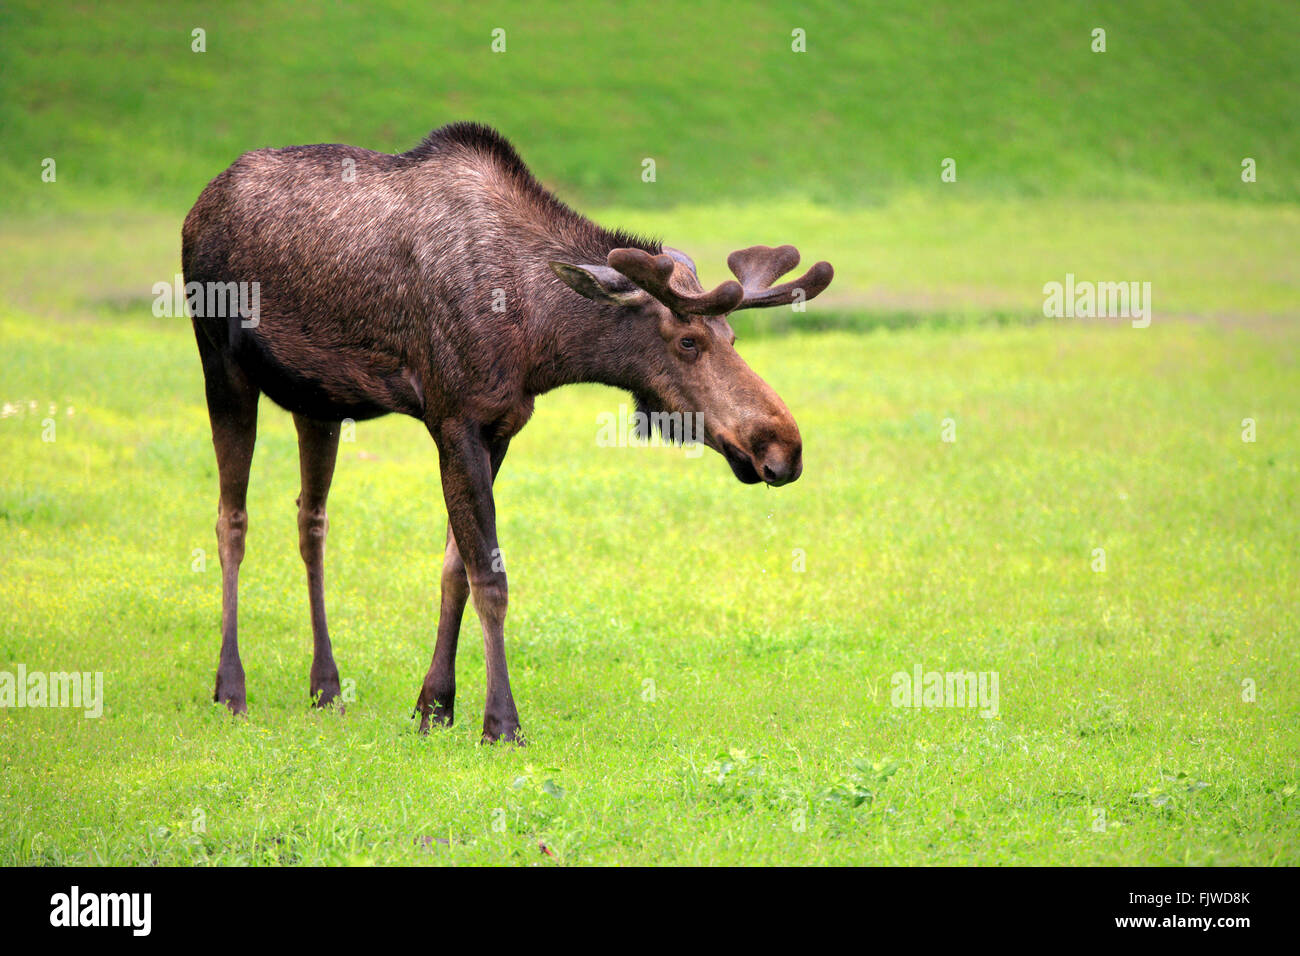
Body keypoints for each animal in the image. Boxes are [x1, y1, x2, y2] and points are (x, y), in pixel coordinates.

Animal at [182, 122, 833, 743]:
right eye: (688, 341)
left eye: (733, 337)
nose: (784, 447)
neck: (541, 341)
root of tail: (200, 202)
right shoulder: (453, 417)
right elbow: (490, 578)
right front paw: (500, 722)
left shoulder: (500, 427)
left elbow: (455, 568)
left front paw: (435, 706)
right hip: (221, 363)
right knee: (231, 519)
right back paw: (230, 687)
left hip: (316, 401)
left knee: (310, 520)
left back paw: (326, 685)